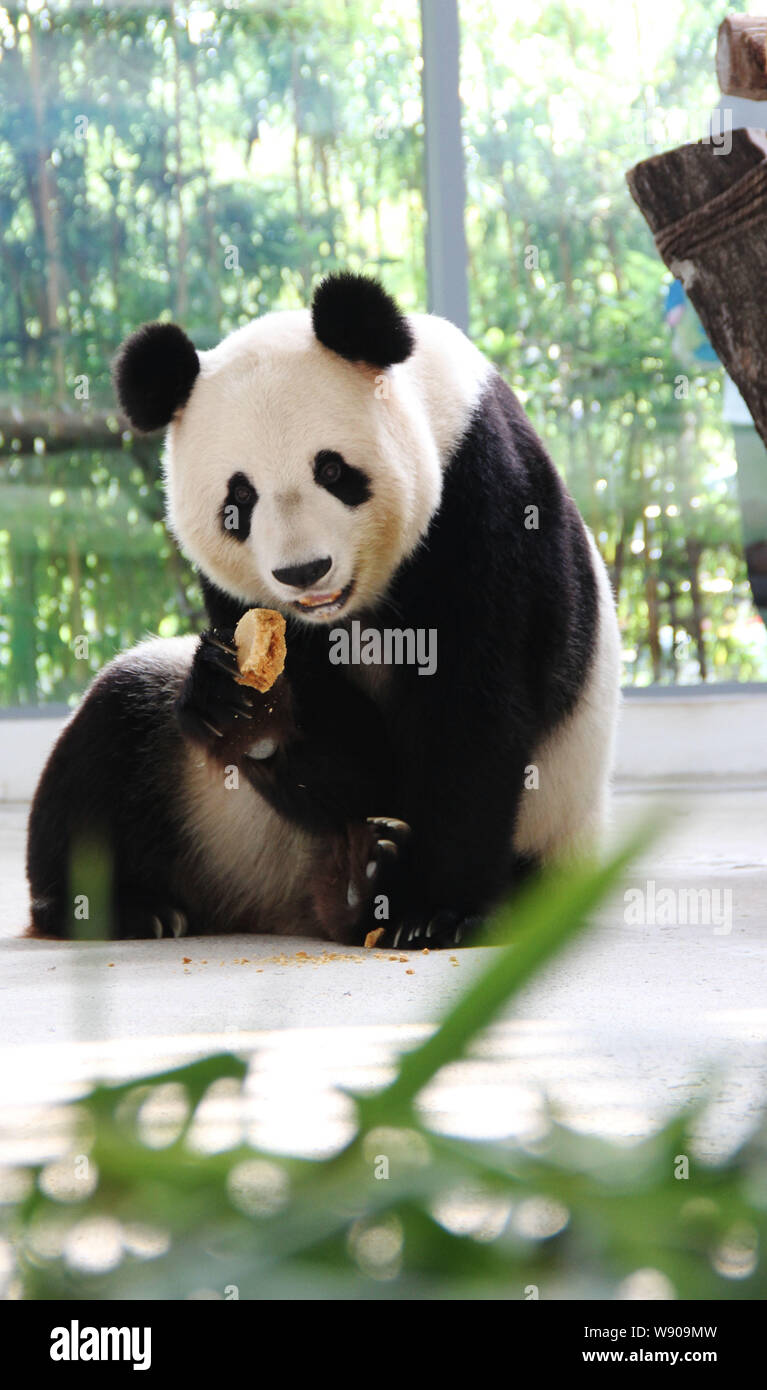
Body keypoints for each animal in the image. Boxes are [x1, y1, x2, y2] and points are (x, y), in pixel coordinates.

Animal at [27, 273, 620, 950]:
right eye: (239, 500)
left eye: (332, 470)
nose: (303, 572)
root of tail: (274, 906)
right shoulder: (242, 599)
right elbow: (350, 754)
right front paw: (252, 711)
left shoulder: (484, 493)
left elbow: (474, 708)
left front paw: (439, 912)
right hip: (210, 798)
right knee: (113, 728)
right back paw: (122, 907)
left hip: (558, 834)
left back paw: (368, 885)